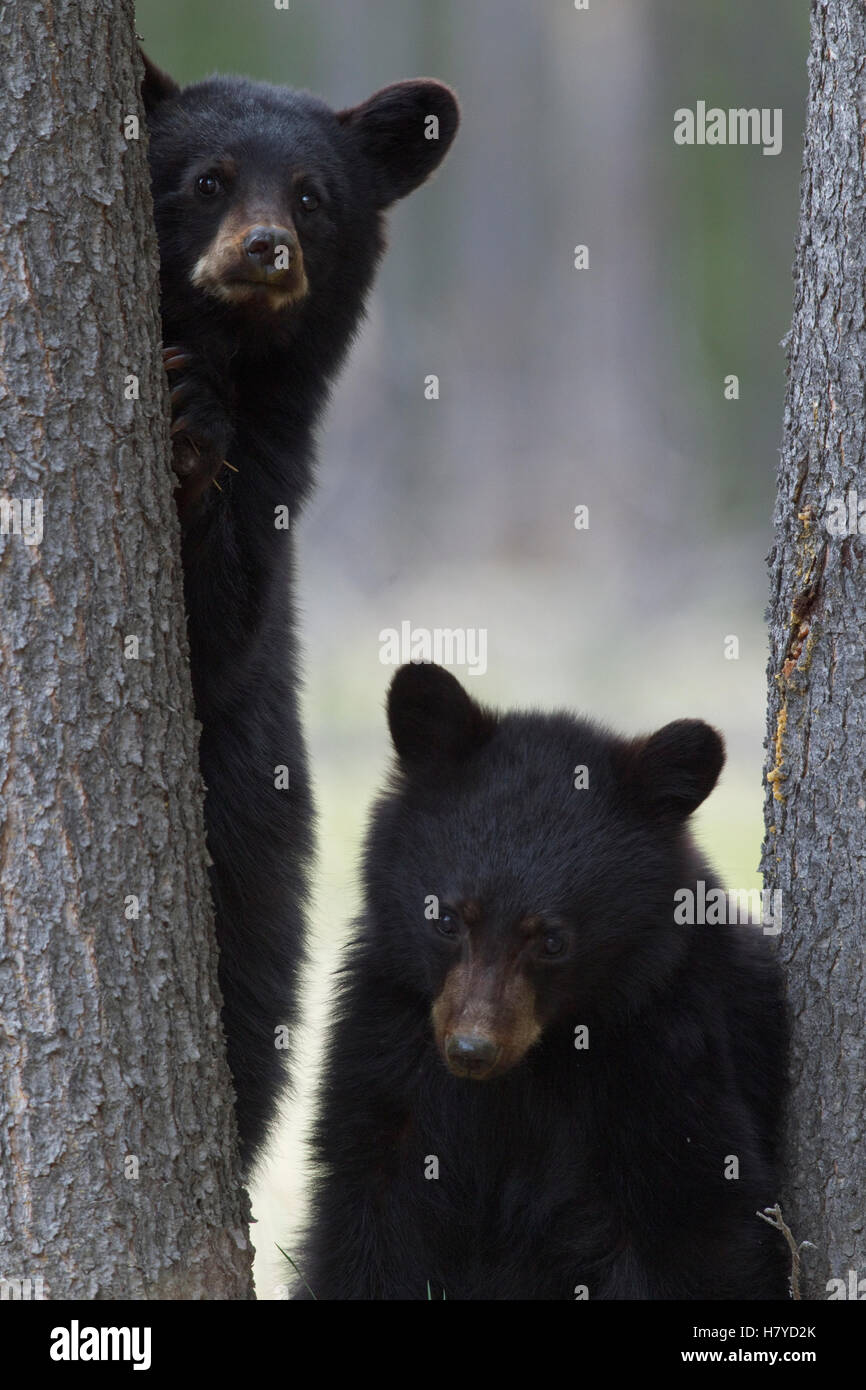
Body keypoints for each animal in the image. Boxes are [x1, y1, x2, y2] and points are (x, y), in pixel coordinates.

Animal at [141, 56, 459, 1172]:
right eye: (208, 180)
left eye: (312, 197)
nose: (265, 249)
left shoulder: (278, 471)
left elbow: (220, 631)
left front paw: (192, 426)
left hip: (256, 849)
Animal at [295, 662, 789, 1299]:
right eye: (446, 918)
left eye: (552, 940)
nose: (471, 1050)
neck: (533, 1064)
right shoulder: (388, 1037)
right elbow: (369, 1207)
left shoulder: (667, 1047)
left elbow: (697, 1221)